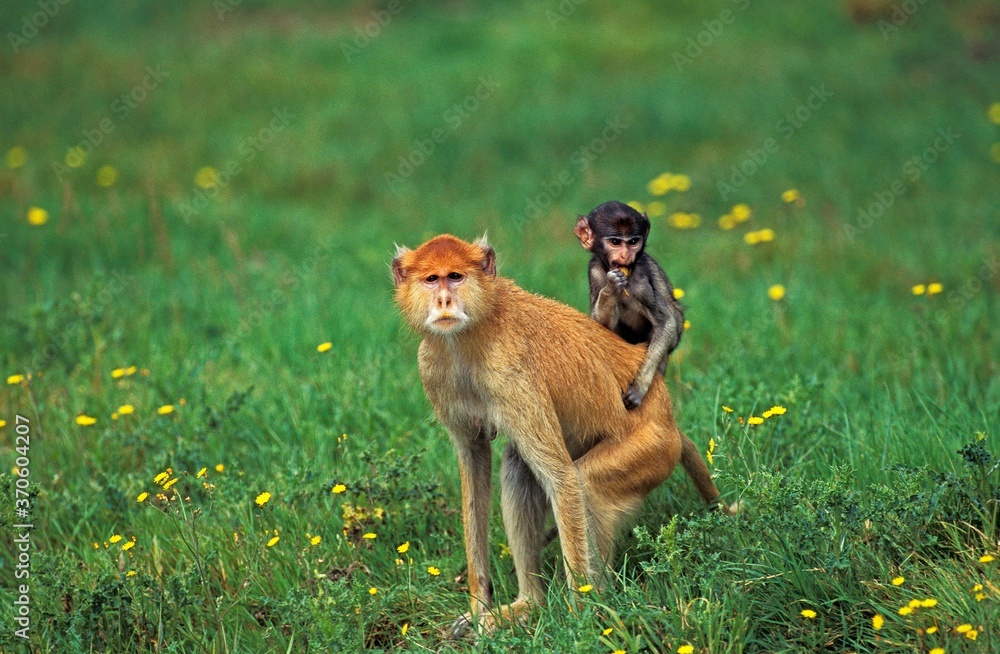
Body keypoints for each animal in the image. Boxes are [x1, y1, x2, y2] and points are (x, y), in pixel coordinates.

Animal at [392, 234, 735, 637]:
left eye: (455, 277)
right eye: (432, 279)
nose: (444, 301)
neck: (473, 330)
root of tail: (666, 415)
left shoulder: (510, 372)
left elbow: (563, 479)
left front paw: (579, 621)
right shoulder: (433, 370)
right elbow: (474, 466)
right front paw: (478, 607)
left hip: (650, 449)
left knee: (588, 485)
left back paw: (592, 601)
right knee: (519, 466)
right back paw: (530, 604)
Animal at [575, 201, 685, 410]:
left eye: (633, 242)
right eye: (615, 242)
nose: (625, 256)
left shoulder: (641, 280)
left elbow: (666, 323)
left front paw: (639, 388)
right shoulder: (594, 272)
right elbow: (599, 325)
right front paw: (611, 289)